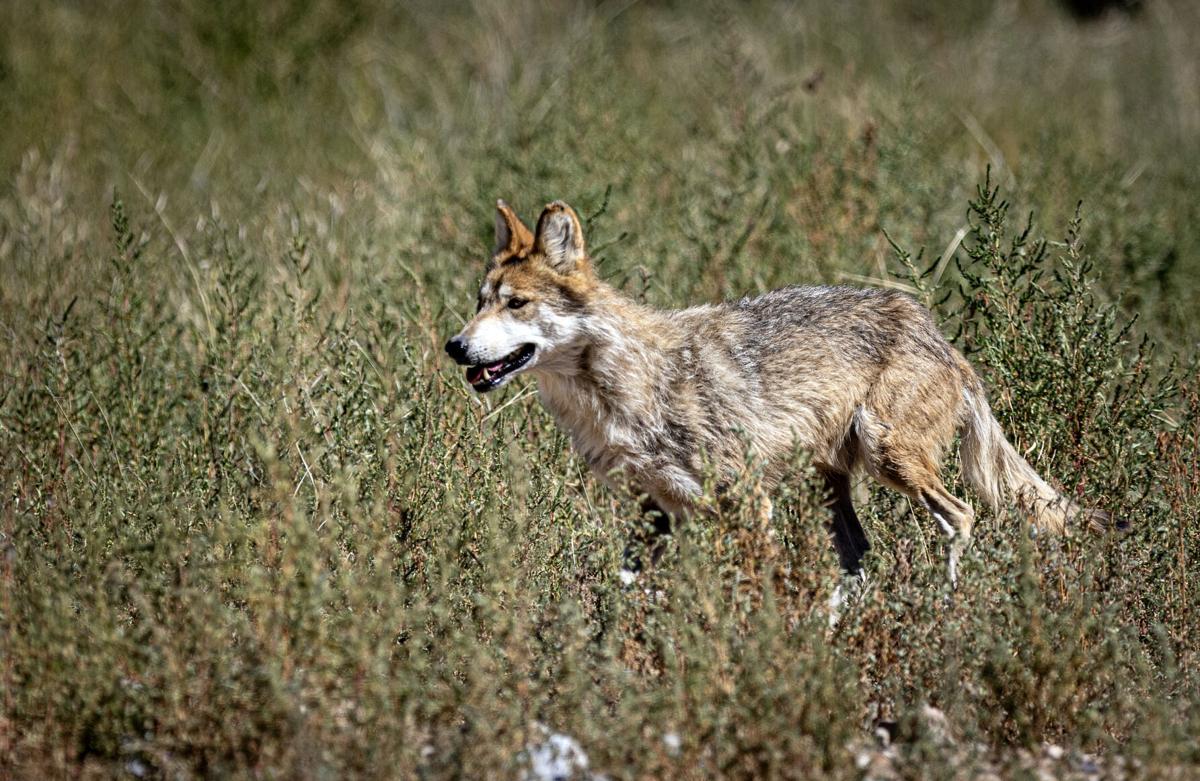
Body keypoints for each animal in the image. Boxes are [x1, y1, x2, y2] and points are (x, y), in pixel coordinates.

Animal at [445, 200, 1111, 583]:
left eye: (516, 304)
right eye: (480, 302)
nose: (454, 346)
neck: (625, 387)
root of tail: (936, 333)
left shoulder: (746, 502)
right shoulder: (654, 514)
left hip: (890, 459)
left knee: (962, 516)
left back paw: (944, 611)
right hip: (832, 484)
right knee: (858, 559)